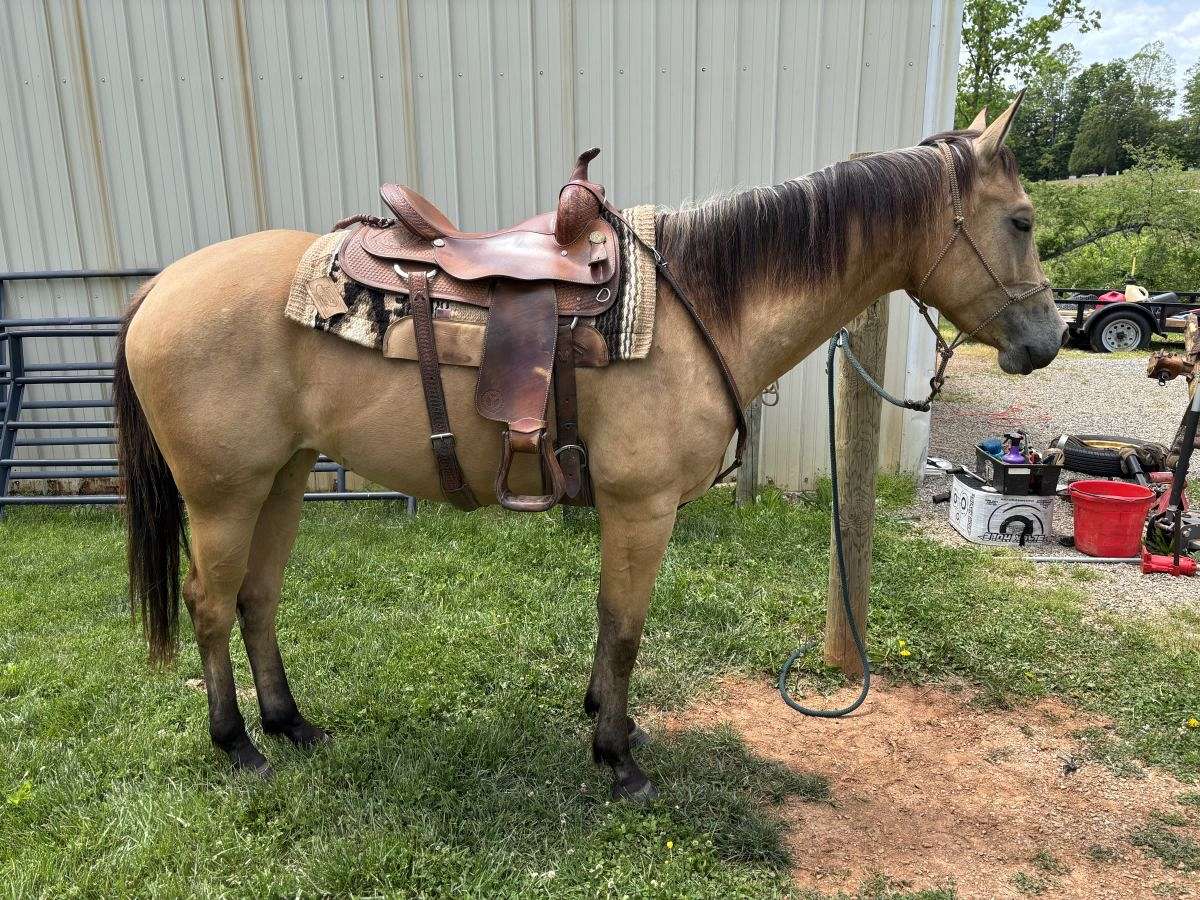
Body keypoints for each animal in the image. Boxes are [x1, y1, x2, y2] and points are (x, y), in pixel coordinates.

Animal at [113, 94, 1065, 802]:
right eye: (1020, 220)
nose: (1050, 340)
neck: (697, 305)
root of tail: (161, 286)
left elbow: (612, 627)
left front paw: (610, 721)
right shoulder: (640, 507)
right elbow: (626, 626)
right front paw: (617, 757)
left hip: (283, 477)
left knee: (258, 599)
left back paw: (291, 724)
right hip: (224, 492)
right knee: (209, 602)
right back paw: (238, 745)